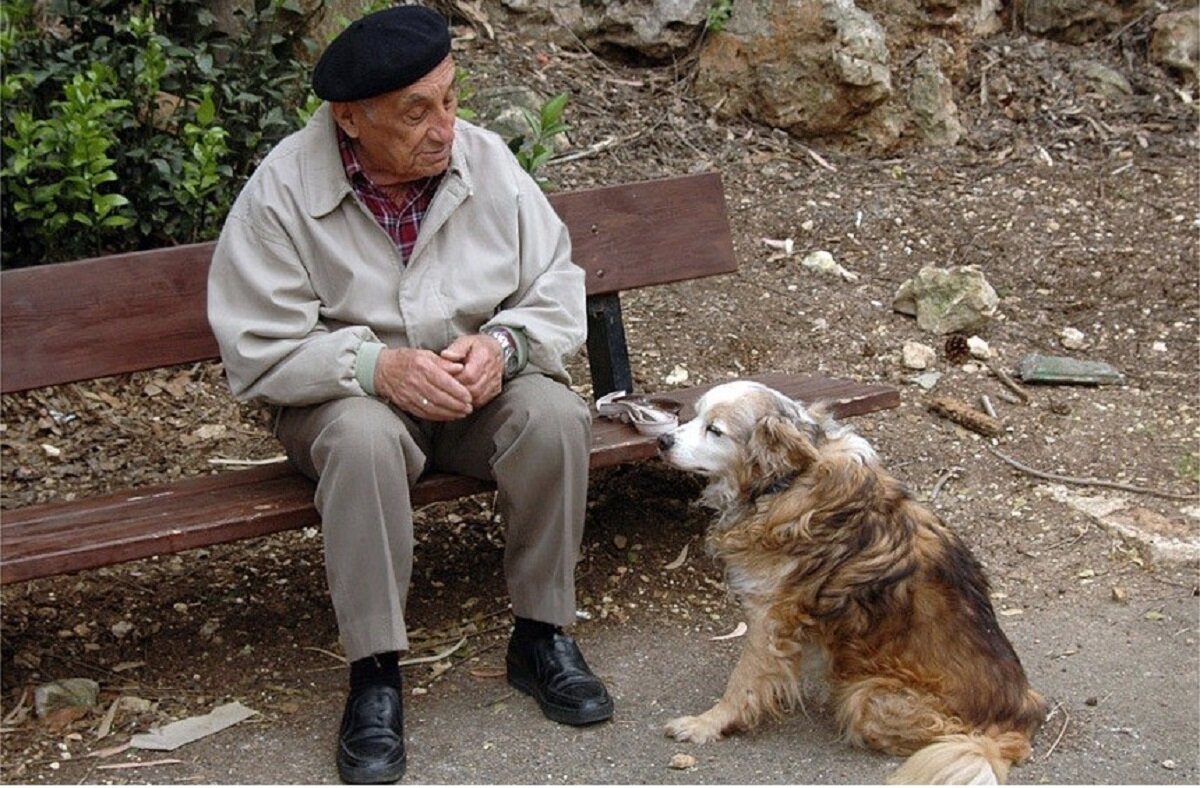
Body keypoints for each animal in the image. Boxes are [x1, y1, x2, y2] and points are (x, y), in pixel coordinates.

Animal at [657, 379, 1041, 782]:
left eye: (714, 430)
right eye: (693, 415)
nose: (662, 440)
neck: (788, 481)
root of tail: (1014, 727)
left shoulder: (769, 617)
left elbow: (743, 682)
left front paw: (707, 724)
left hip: (867, 696)